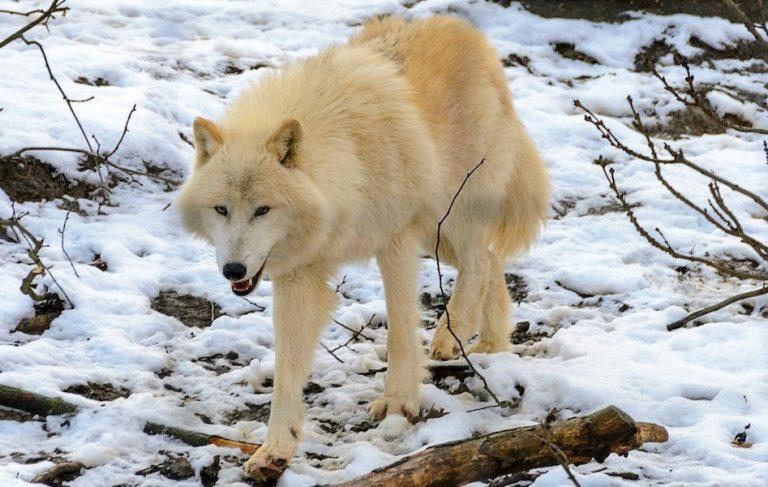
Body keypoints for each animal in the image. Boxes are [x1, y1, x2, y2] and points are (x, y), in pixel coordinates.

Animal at [177, 15, 549, 481]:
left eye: (263, 209)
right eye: (222, 209)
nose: (233, 271)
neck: (345, 165)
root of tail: (464, 28)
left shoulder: (396, 241)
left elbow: (400, 333)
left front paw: (398, 402)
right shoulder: (299, 275)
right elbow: (286, 370)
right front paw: (275, 449)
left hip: (450, 214)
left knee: (479, 262)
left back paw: (451, 335)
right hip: (439, 235)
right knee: (492, 261)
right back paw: (490, 348)